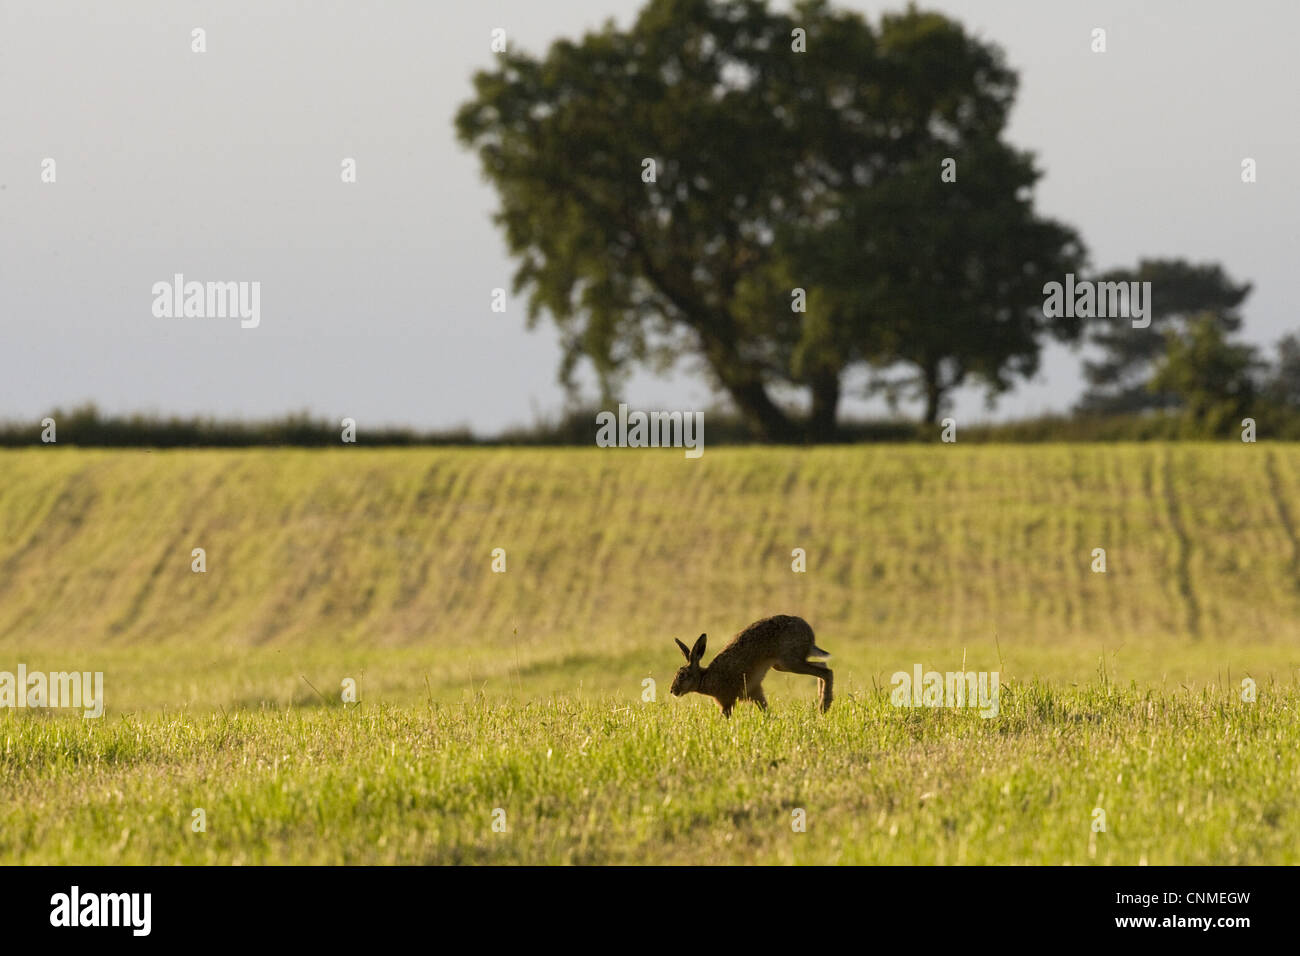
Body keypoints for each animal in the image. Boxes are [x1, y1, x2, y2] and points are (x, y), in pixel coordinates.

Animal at [669, 615, 832, 716]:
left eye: (682, 675)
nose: (672, 691)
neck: (705, 677)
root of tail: (809, 634)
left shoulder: (727, 701)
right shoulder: (755, 691)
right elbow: (765, 710)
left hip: (790, 661)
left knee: (827, 672)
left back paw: (824, 706)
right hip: (783, 664)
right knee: (822, 665)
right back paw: (821, 702)